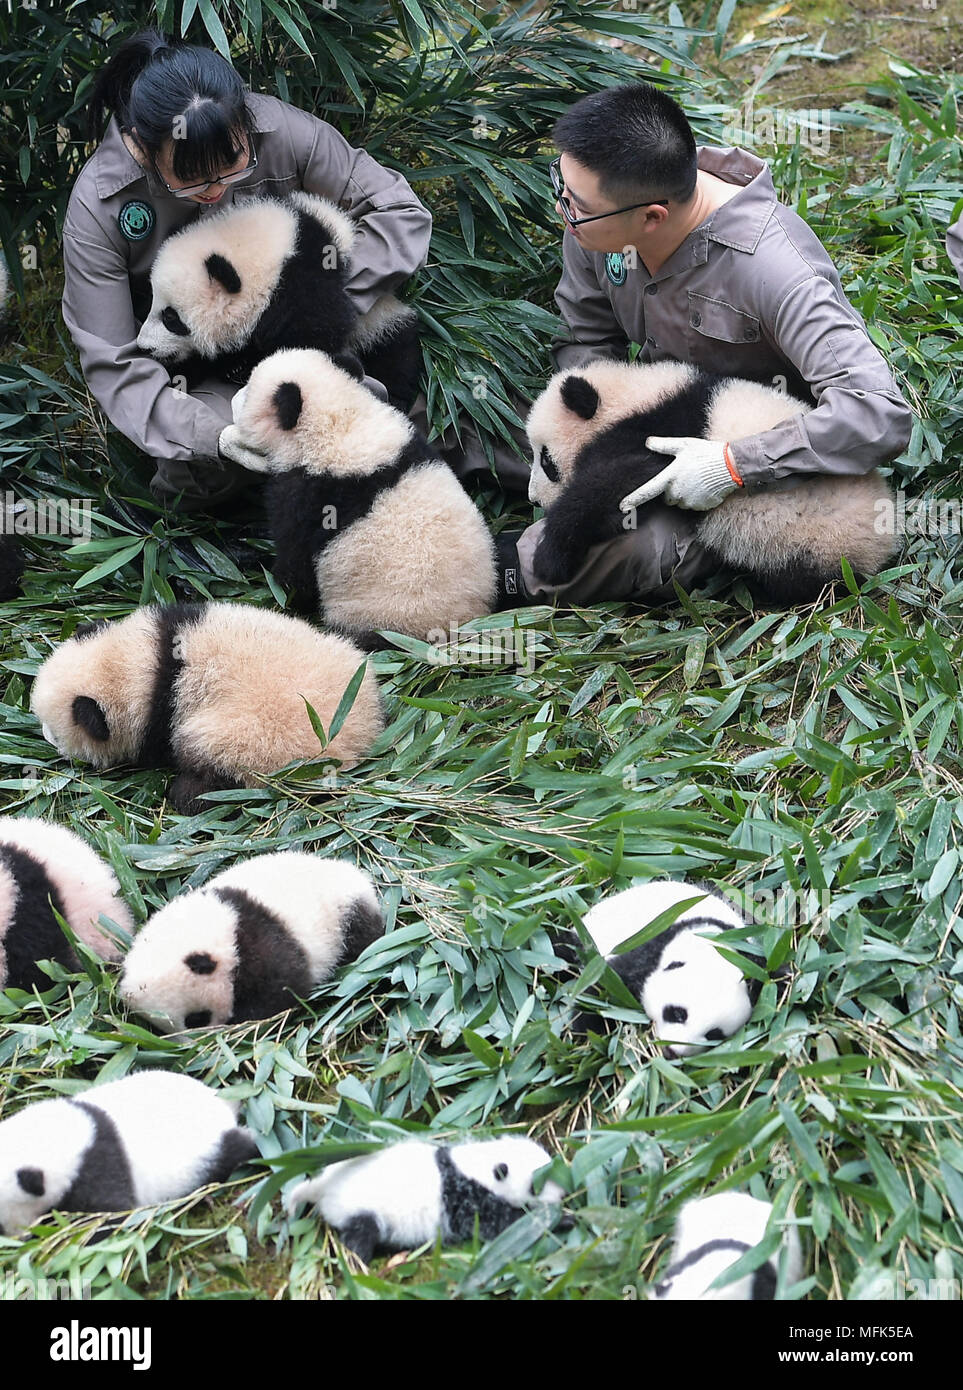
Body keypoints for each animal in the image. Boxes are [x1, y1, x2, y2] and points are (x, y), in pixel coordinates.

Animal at [29, 601, 384, 815]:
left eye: (57, 734)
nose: (44, 736)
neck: (149, 668)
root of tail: (362, 728)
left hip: (263, 739)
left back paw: (186, 793)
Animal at [136, 191, 421, 410]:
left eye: (171, 317)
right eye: (151, 301)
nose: (144, 347)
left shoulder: (304, 285)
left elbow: (317, 336)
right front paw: (224, 366)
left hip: (378, 315)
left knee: (395, 353)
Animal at [218, 349, 497, 643]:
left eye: (247, 394)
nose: (232, 399)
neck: (338, 423)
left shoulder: (311, 496)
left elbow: (296, 561)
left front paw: (284, 588)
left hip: (382, 618)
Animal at [287, 1137, 566, 1263]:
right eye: (535, 1187)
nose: (563, 1195)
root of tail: (325, 1185)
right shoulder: (468, 1200)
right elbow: (501, 1224)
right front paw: (560, 1220)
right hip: (361, 1210)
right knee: (360, 1235)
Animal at [526, 360, 899, 604]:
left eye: (545, 460)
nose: (533, 500)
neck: (632, 396)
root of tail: (882, 548)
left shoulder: (657, 433)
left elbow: (619, 488)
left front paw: (549, 557)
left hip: (812, 540)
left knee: (797, 582)